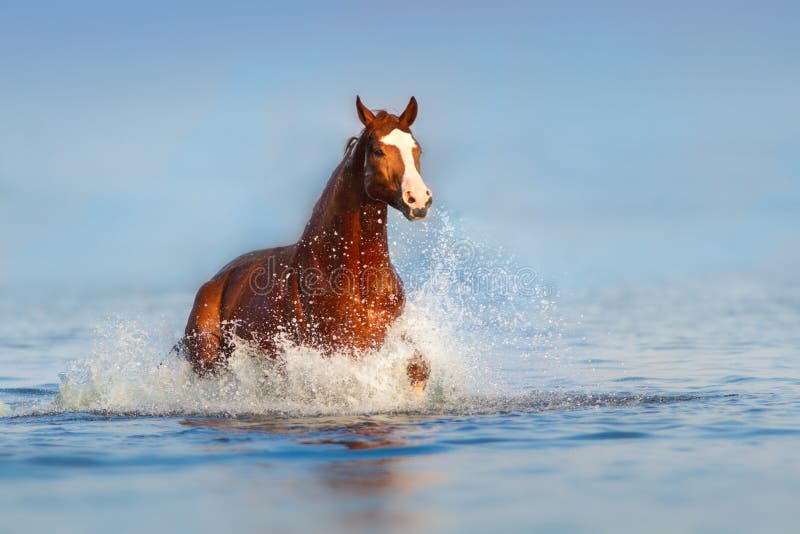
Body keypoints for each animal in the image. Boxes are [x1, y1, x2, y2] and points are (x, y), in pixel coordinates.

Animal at [181, 96, 433, 395]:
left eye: (417, 149)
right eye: (378, 151)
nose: (418, 199)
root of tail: (218, 279)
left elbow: (418, 368)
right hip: (208, 360)